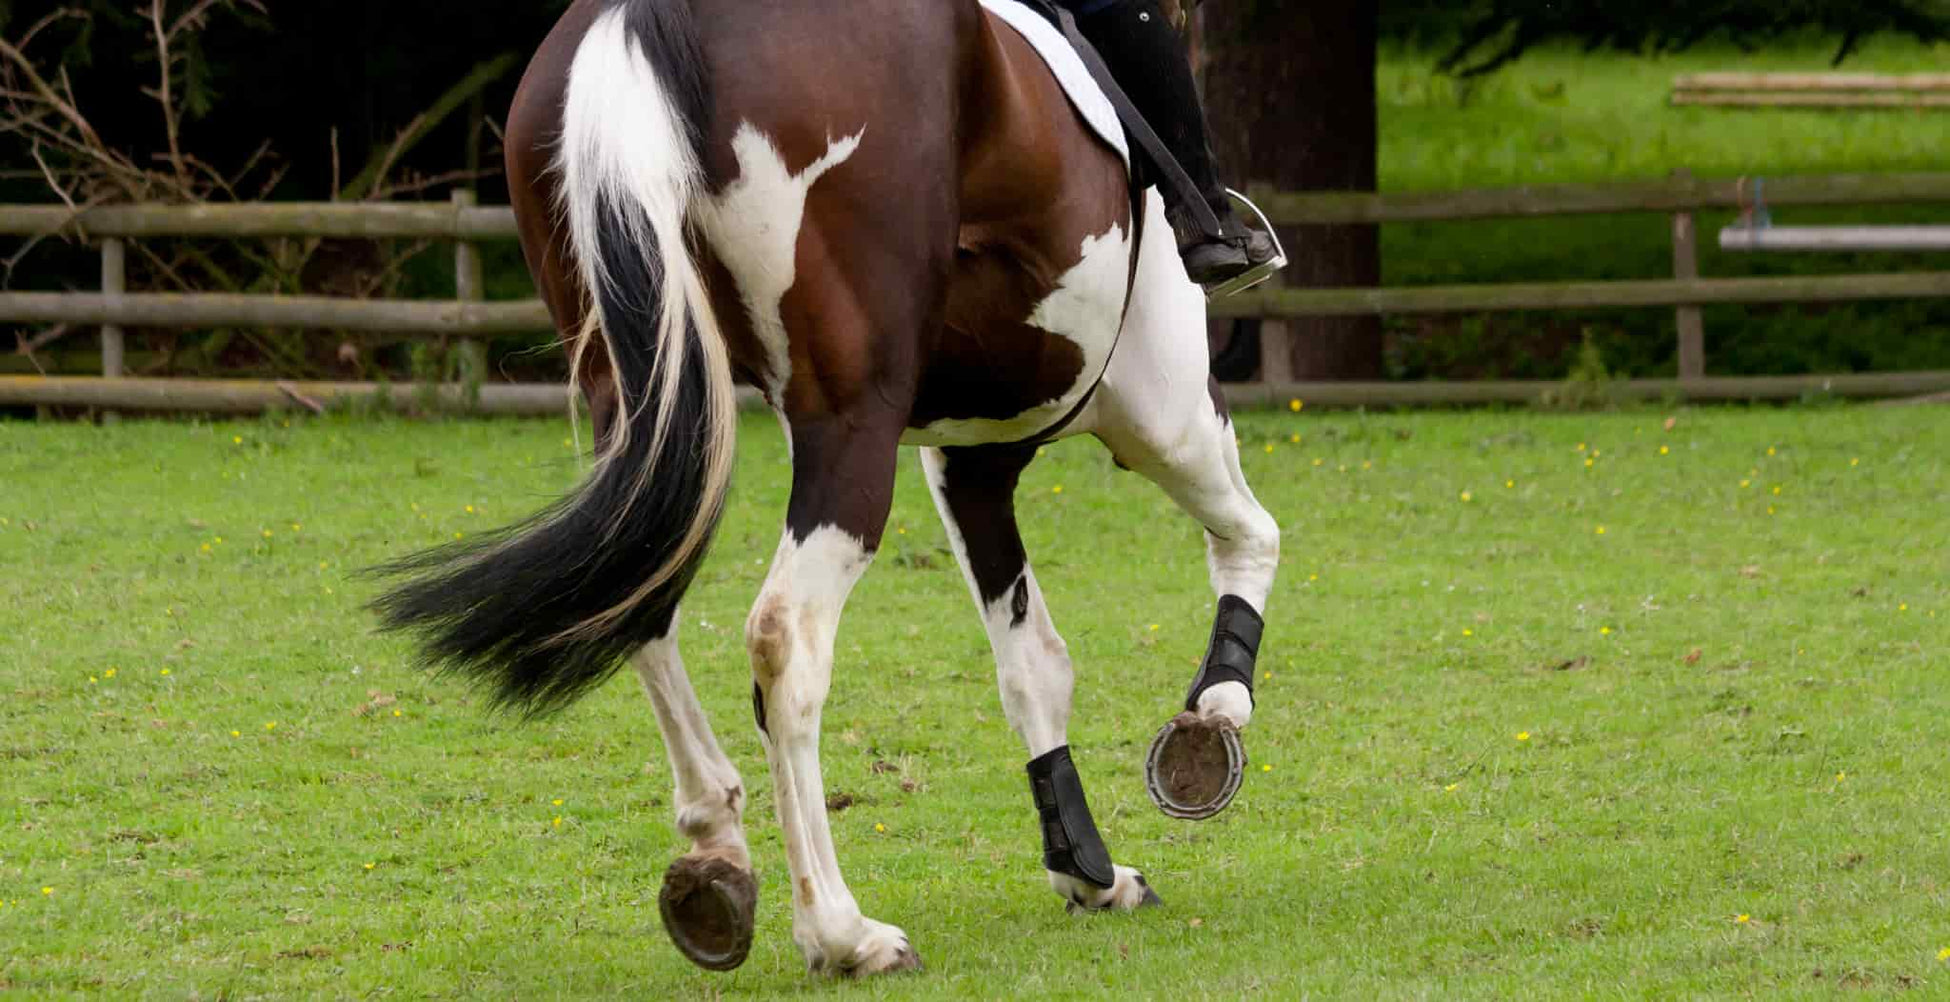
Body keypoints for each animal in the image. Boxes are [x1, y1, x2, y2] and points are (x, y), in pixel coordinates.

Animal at [374, 0, 1280, 978]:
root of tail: (644, 18)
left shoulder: (974, 458)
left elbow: (1036, 663)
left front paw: (1087, 870)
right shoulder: (1162, 407)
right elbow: (1251, 537)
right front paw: (1213, 720)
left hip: (650, 401)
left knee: (635, 595)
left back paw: (715, 860)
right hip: (852, 428)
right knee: (784, 639)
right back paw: (842, 930)